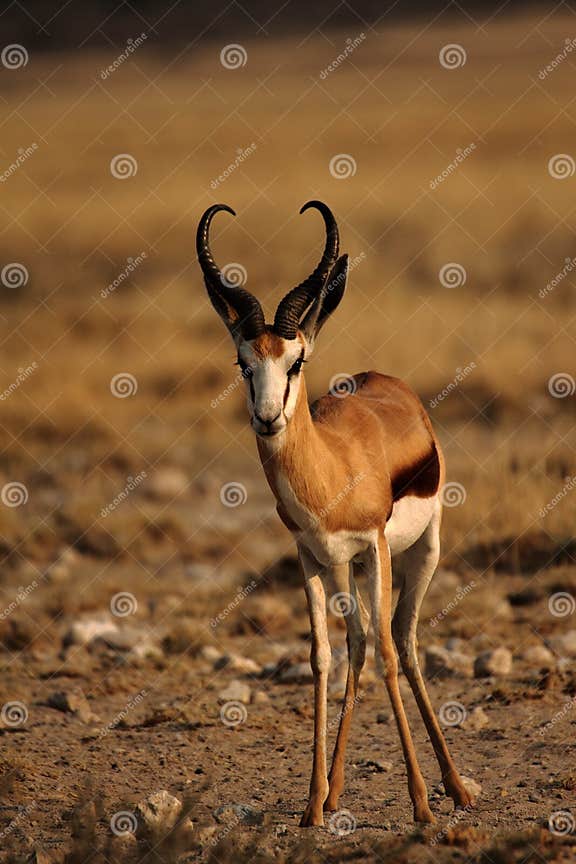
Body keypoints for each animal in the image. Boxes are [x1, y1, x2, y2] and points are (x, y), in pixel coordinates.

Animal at [197, 200, 473, 827]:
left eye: (296, 360)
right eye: (243, 363)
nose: (268, 418)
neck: (329, 470)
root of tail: (385, 381)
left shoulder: (374, 544)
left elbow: (391, 654)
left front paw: (421, 804)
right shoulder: (311, 556)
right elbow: (323, 658)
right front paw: (310, 807)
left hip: (416, 553)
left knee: (403, 639)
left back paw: (454, 787)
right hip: (349, 568)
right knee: (361, 642)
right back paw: (336, 791)